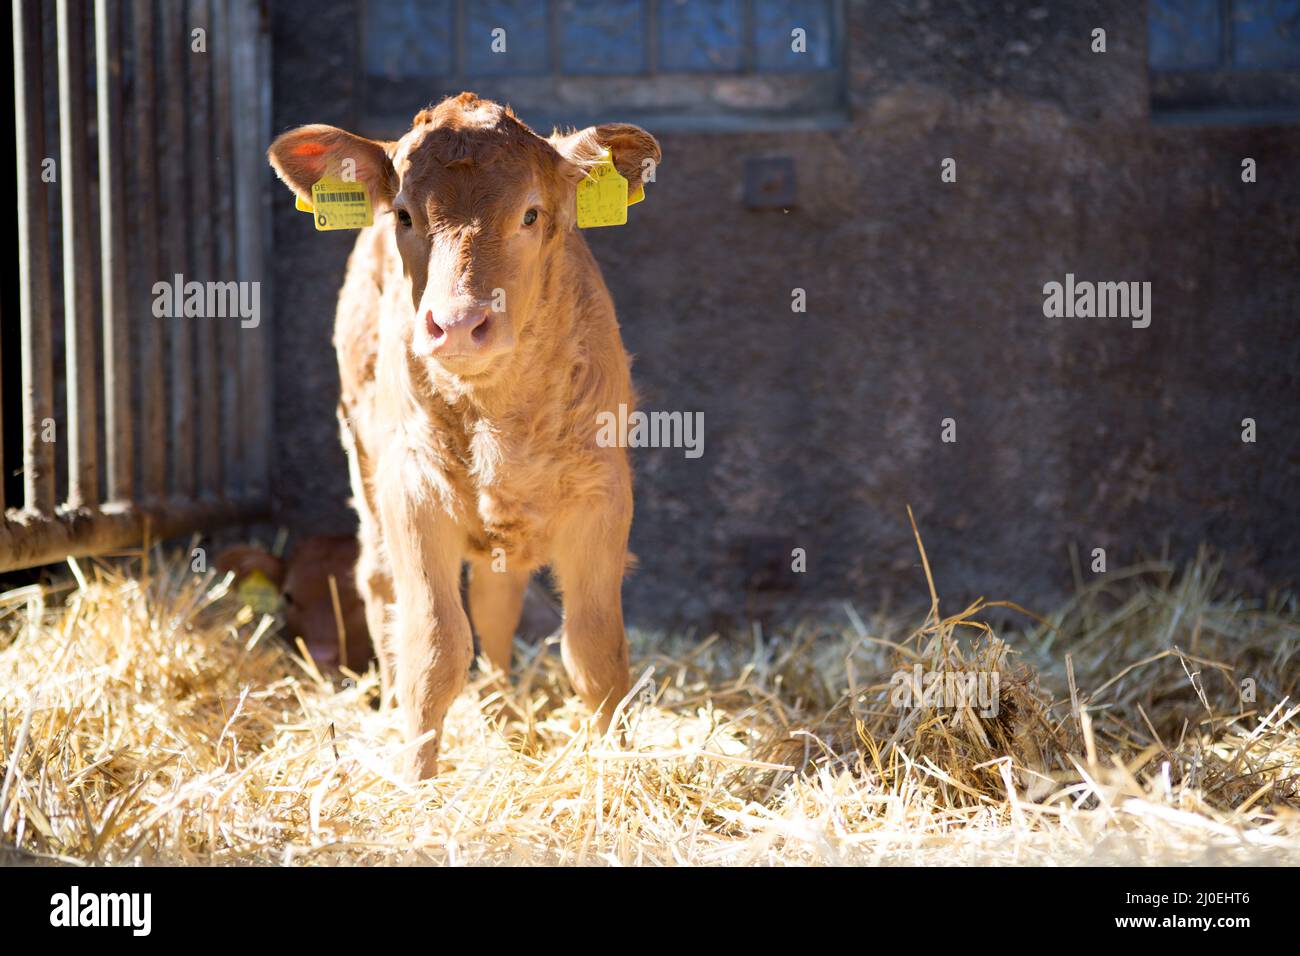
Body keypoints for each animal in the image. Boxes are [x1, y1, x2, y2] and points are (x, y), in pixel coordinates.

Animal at [267, 93, 660, 779]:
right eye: (403, 214)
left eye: (531, 213)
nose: (455, 324)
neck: (498, 414)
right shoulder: (412, 491)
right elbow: (434, 646)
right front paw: (415, 779)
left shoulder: (604, 495)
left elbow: (595, 649)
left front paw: (614, 769)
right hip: (363, 455)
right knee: (378, 583)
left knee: (497, 605)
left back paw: (504, 714)